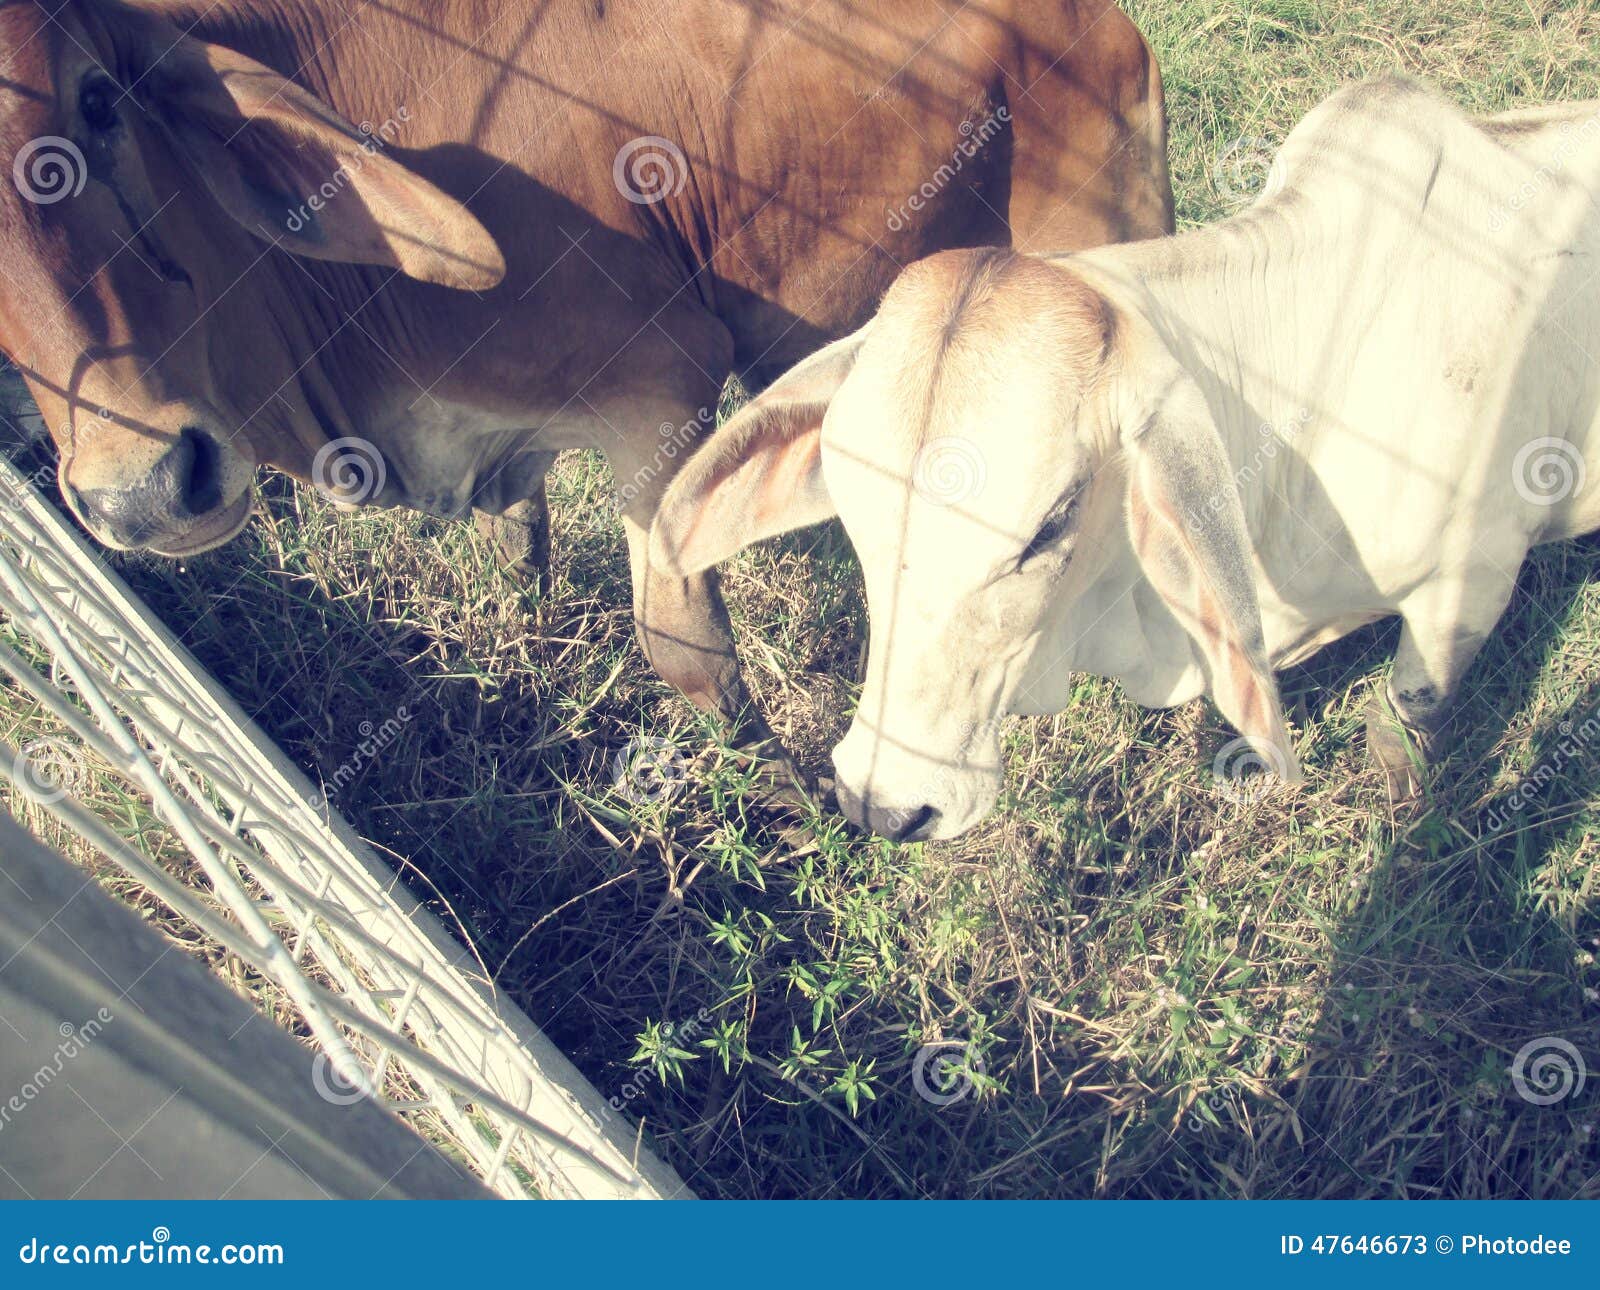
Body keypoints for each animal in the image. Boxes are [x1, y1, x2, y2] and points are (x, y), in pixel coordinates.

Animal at [0, 0, 1171, 763]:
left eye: (98, 98)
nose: (144, 493)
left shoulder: (660, 390)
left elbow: (687, 652)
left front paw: (775, 803)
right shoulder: (489, 437)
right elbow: (518, 551)